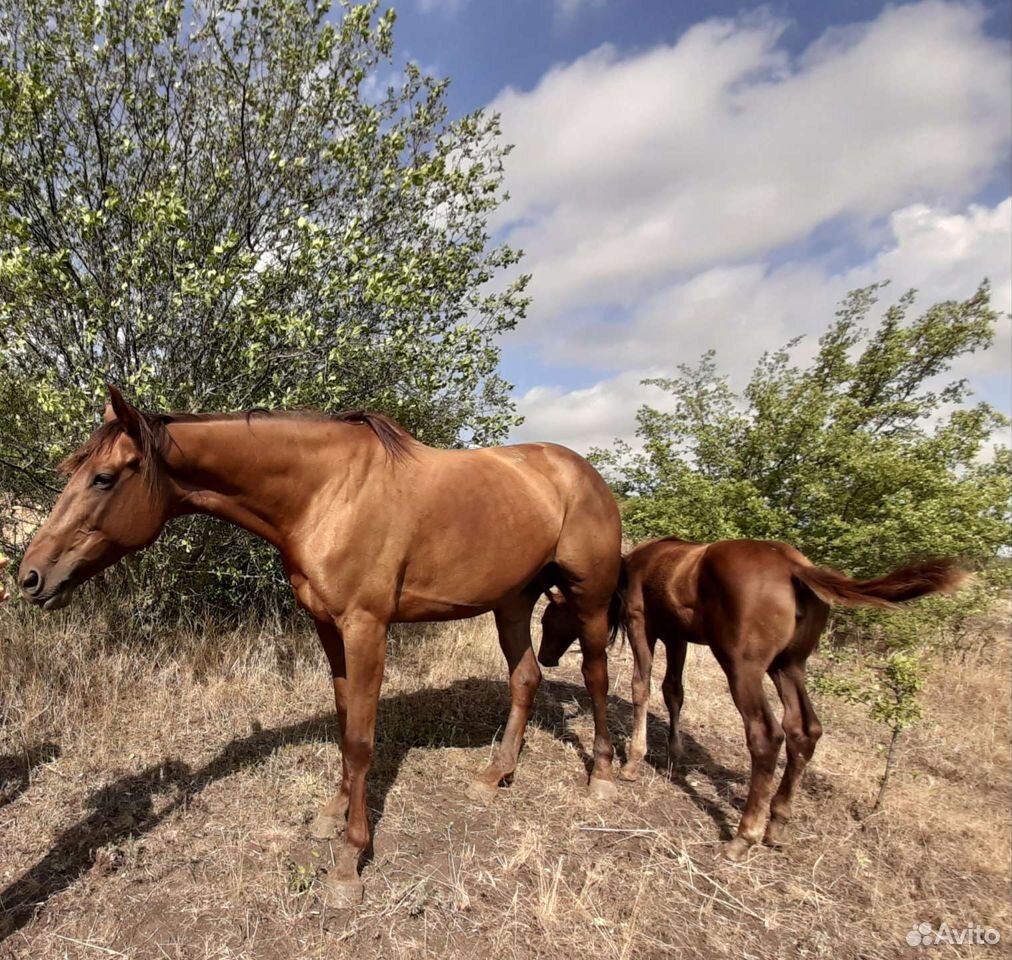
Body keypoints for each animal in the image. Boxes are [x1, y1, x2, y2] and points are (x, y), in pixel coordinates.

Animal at [18, 386, 623, 905]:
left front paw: (349, 862)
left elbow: (360, 740)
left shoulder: (366, 628)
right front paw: (332, 816)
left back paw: (602, 776)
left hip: (589, 600)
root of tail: (581, 472)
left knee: (596, 675)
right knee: (525, 678)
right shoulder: (329, 628)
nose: (29, 577)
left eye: (103, 478)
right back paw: (494, 776)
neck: (326, 494)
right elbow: (343, 723)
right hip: (513, 601)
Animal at [538, 536, 964, 861]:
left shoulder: (642, 623)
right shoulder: (678, 635)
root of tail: (796, 569)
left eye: (547, 619)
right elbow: (674, 691)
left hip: (743, 667)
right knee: (804, 730)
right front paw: (674, 753)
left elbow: (641, 686)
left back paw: (744, 835)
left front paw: (632, 762)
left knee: (767, 735)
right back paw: (776, 824)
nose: (545, 657)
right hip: (789, 666)